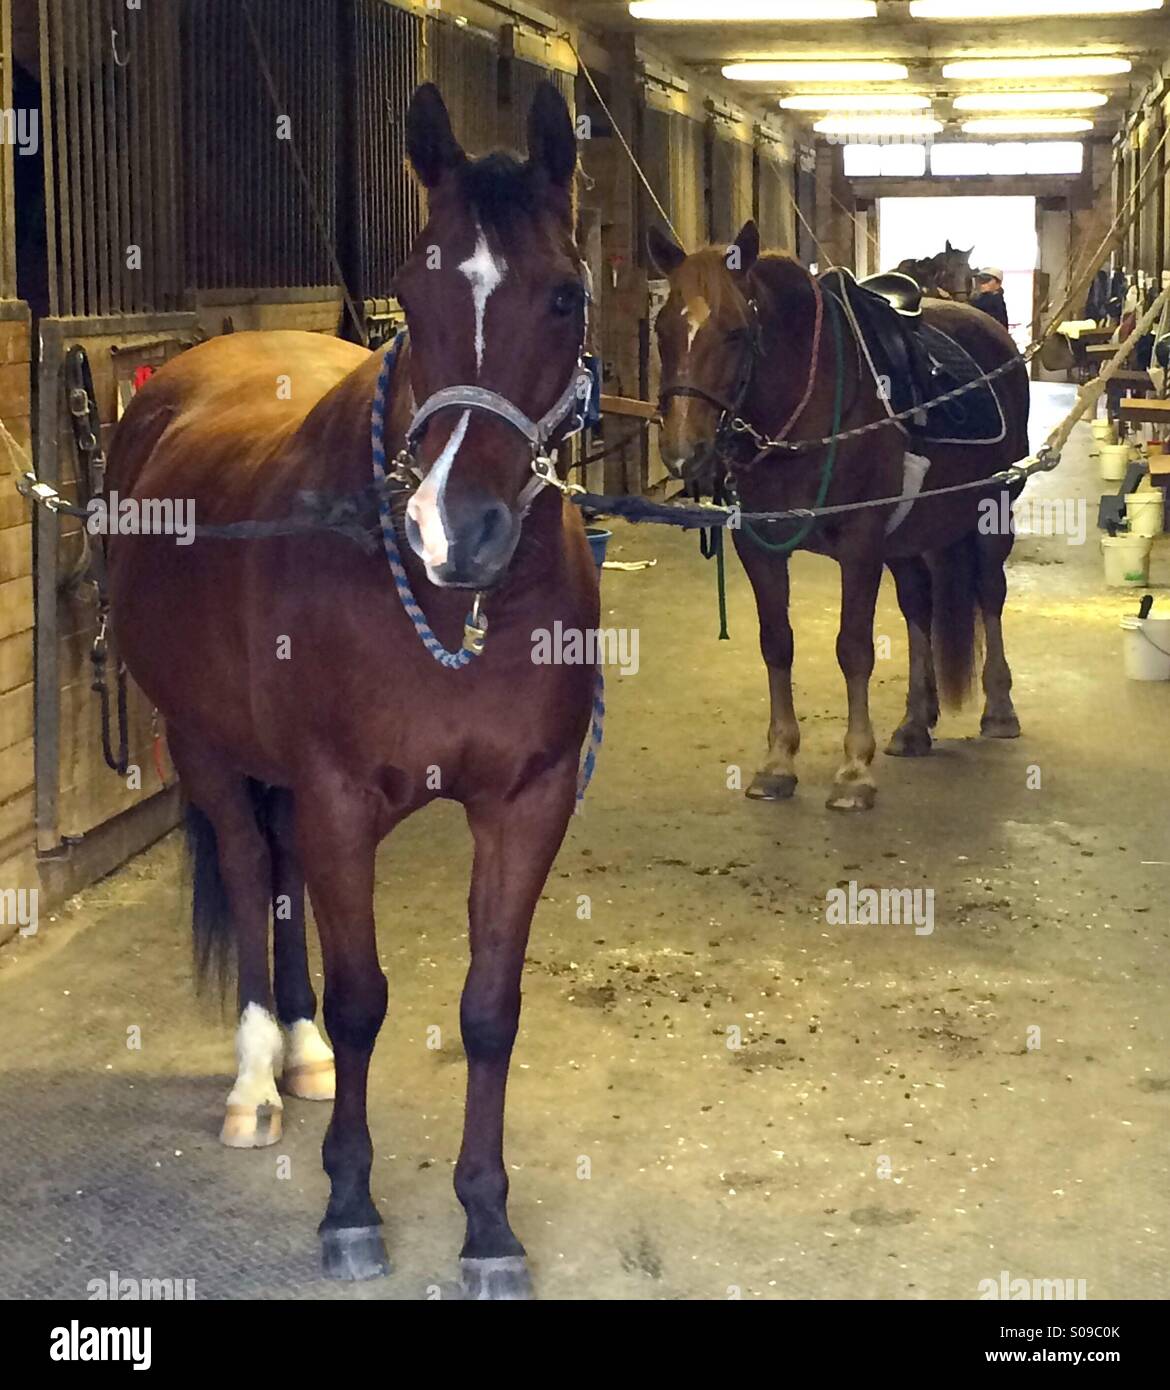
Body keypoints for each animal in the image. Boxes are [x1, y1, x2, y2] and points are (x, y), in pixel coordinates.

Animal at [105, 81, 598, 1298]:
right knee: (250, 874)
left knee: (279, 885)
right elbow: (367, 996)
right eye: (414, 291)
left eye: (565, 294)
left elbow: (488, 1009)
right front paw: (350, 1207)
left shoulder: (527, 802)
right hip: (205, 745)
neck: (452, 615)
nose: (453, 533)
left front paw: (488, 1222)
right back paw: (256, 1081)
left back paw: (301, 1052)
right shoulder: (338, 799)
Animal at [647, 220, 1029, 811]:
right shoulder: (758, 544)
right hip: (909, 536)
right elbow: (776, 642)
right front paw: (778, 762)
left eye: (736, 332)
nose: (684, 452)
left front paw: (854, 770)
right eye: (662, 330)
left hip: (994, 511)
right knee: (919, 605)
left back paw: (1000, 710)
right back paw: (915, 724)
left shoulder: (860, 541)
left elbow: (853, 648)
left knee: (990, 593)